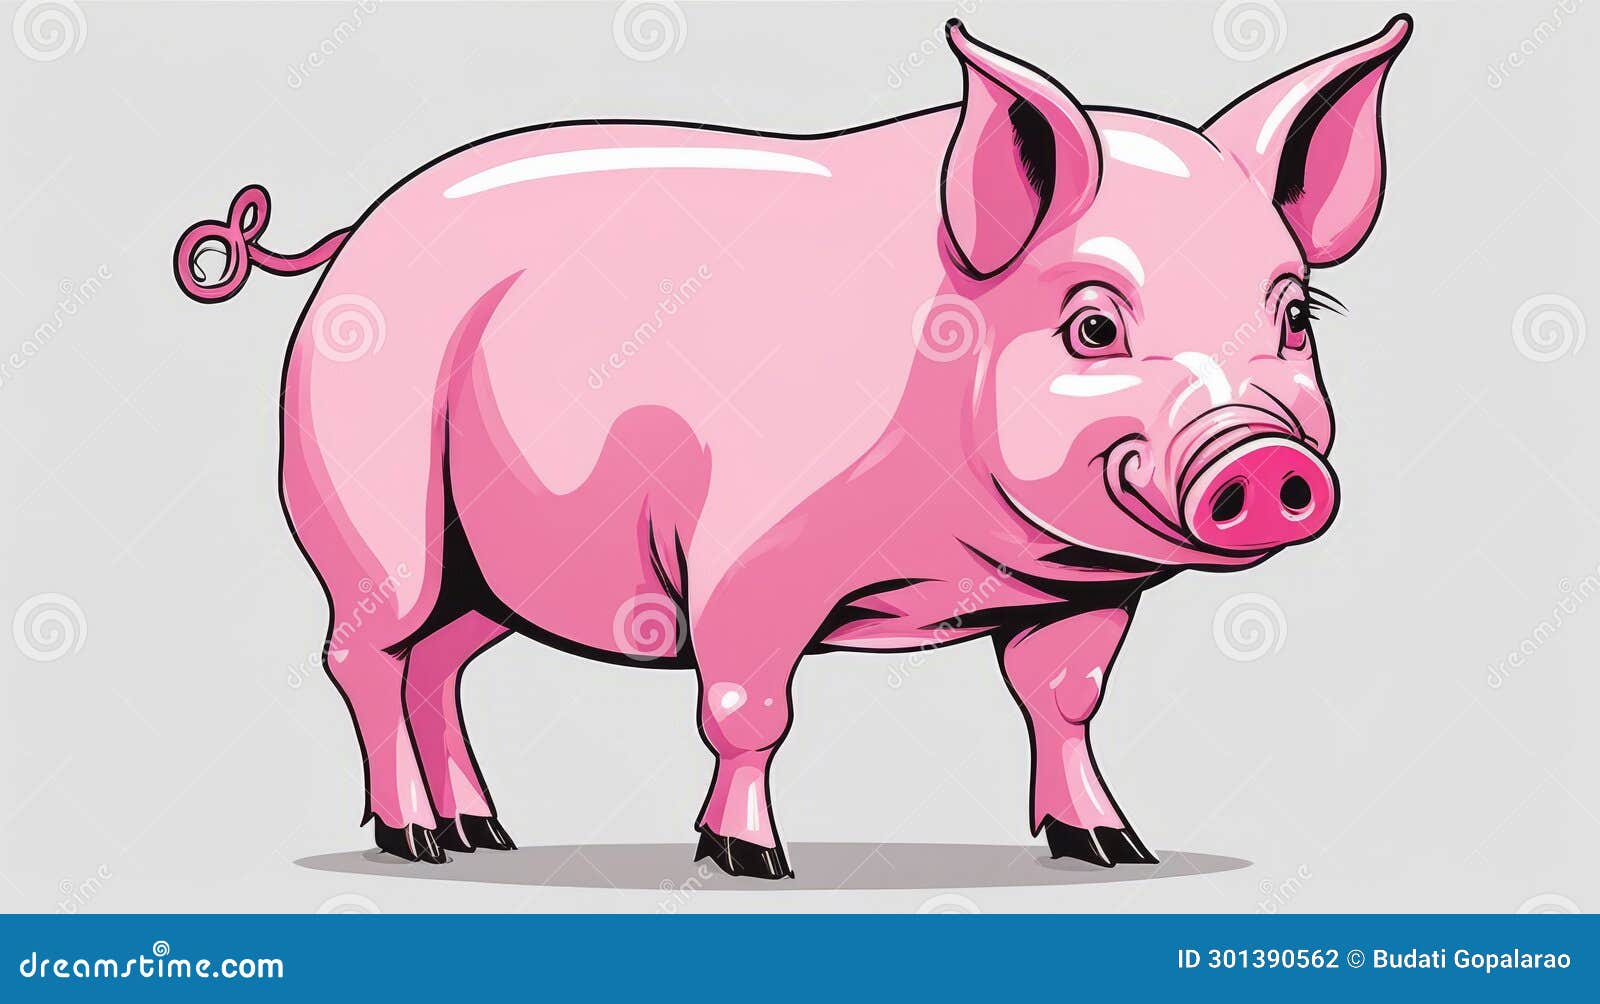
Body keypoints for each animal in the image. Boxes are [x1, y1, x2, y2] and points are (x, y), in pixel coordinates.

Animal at [175, 17, 1410, 877]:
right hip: (374, 508)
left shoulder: (1089, 591)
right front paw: (752, 862)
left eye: (1295, 317)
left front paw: (1112, 849)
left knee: (440, 662)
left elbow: (1063, 701)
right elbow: (747, 710)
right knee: (364, 656)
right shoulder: (747, 554)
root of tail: (352, 232)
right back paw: (416, 843)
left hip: (493, 567)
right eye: (1095, 327)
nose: (1264, 460)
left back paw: (486, 833)